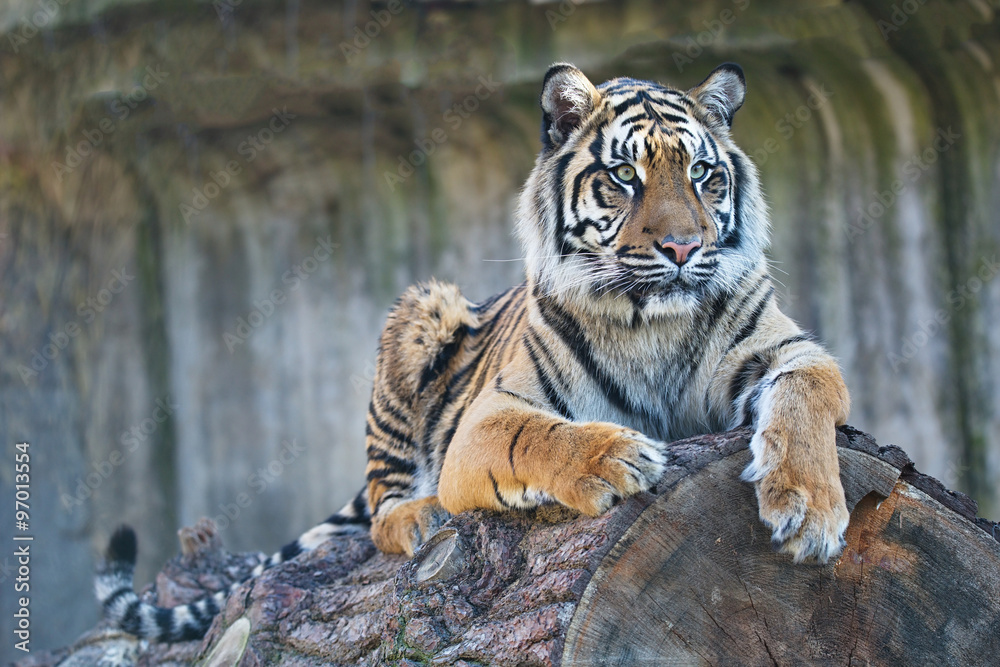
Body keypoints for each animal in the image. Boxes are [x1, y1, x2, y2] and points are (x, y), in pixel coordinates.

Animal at [95, 61, 851, 644]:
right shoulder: (487, 418)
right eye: (623, 178)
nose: (684, 248)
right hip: (421, 310)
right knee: (379, 510)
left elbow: (808, 398)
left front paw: (810, 509)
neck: (652, 324)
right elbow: (540, 435)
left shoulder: (791, 349)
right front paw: (615, 456)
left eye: (702, 174)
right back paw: (421, 514)